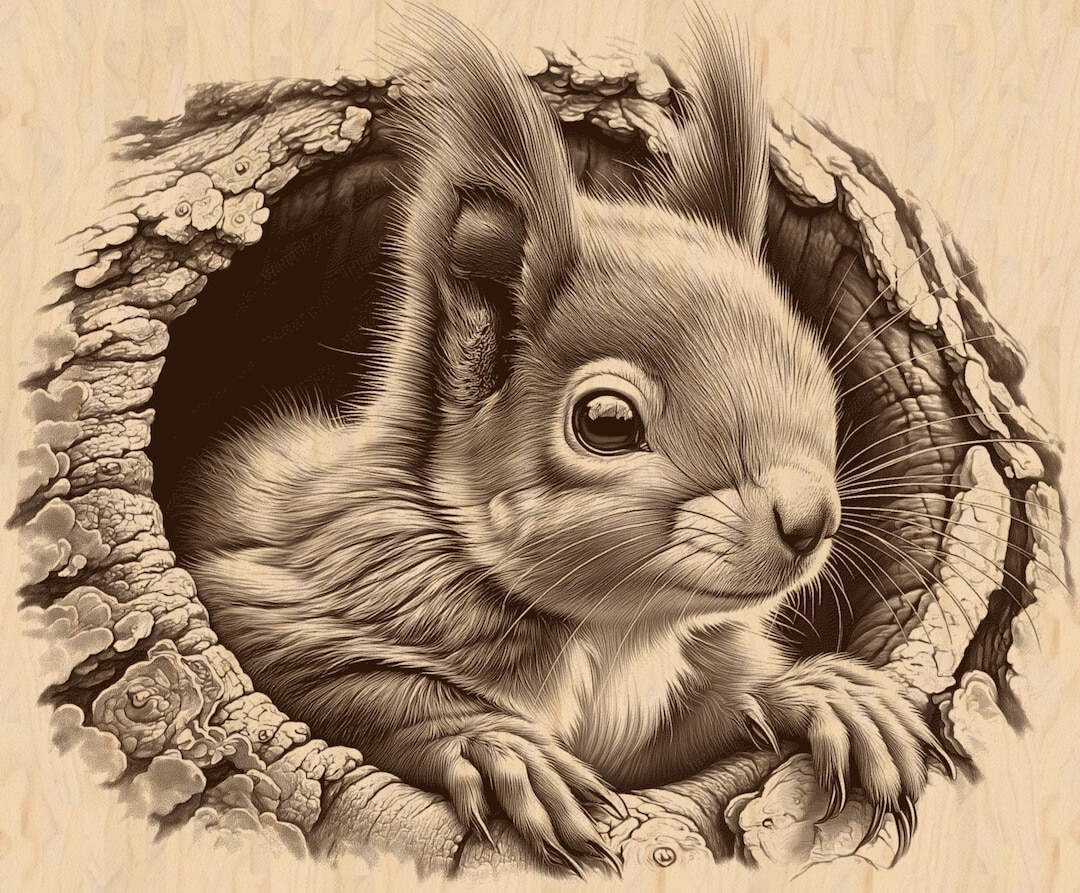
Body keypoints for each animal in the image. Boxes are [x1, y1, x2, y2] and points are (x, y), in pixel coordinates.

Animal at [177, 8, 951, 874]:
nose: (810, 518)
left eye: (818, 374)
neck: (619, 637)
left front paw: (825, 692)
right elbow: (355, 680)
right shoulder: (283, 587)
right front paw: (495, 749)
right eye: (607, 423)